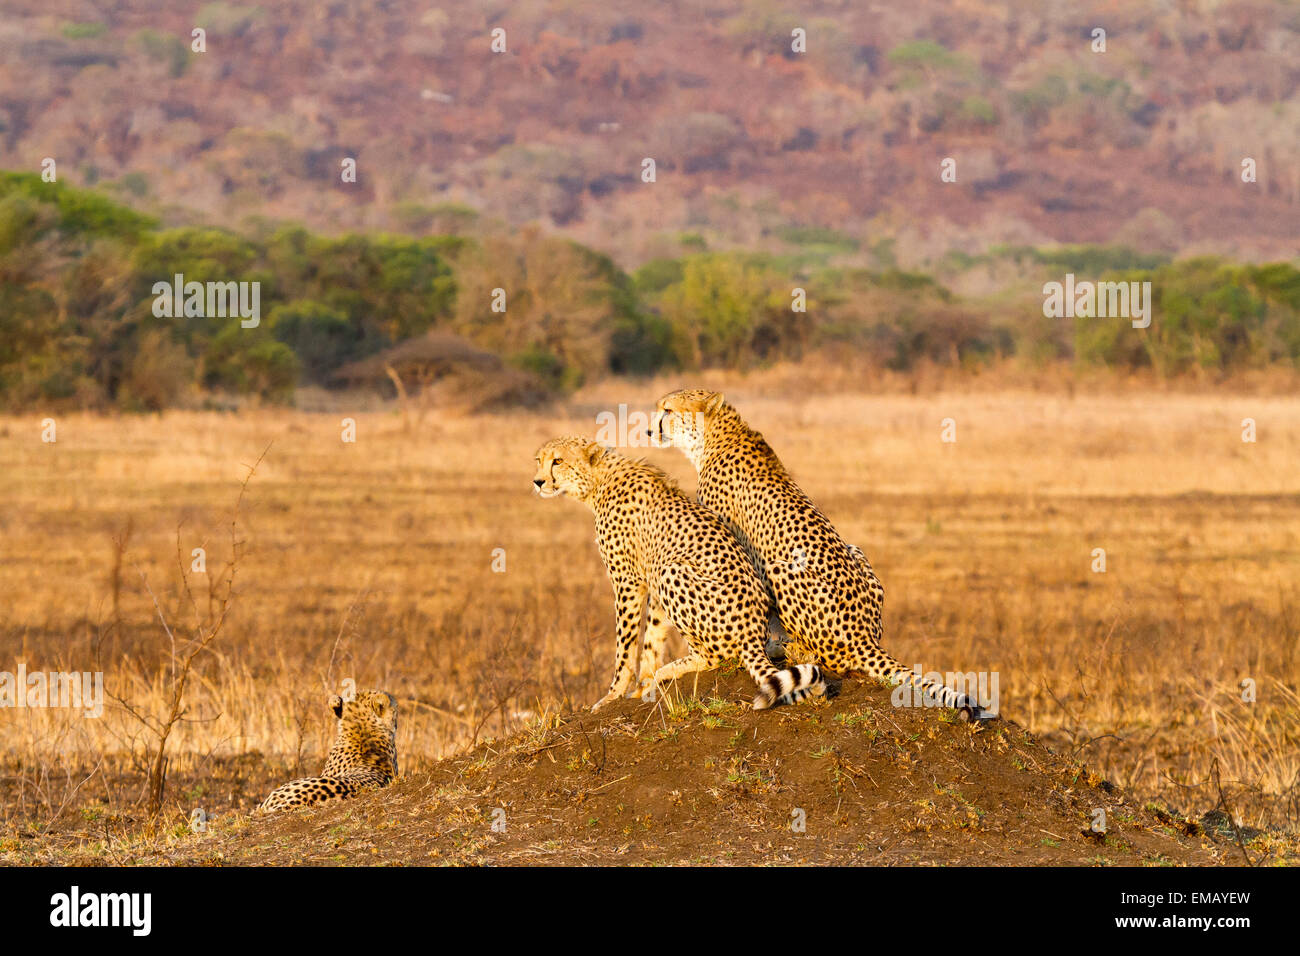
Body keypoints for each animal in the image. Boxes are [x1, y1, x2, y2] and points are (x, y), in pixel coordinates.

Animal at [533, 436, 834, 712]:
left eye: (558, 461)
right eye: (539, 459)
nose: (537, 482)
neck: (599, 481)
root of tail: (752, 631)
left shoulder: (628, 581)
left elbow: (625, 646)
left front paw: (612, 694)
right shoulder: (651, 578)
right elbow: (652, 639)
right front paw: (641, 686)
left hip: (672, 570)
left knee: (715, 658)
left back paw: (672, 669)